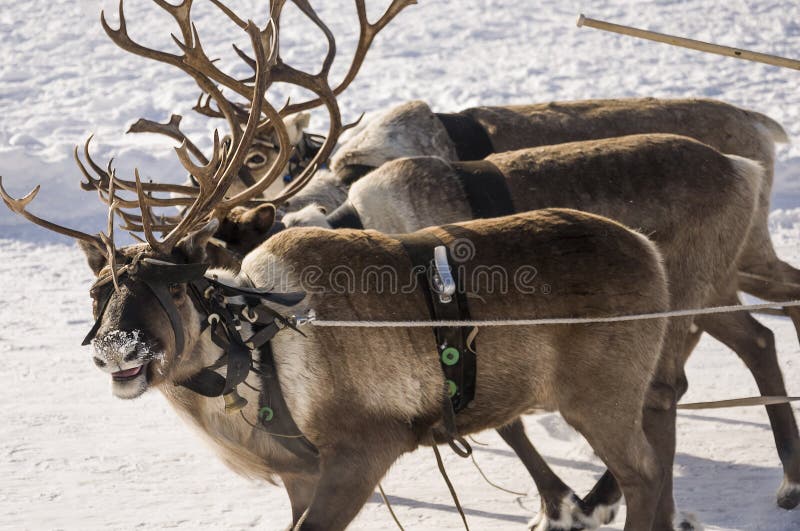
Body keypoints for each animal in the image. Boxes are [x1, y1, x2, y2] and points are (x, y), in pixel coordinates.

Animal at [0, 3, 684, 531]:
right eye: (97, 292)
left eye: (170, 284)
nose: (113, 349)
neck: (257, 356)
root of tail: (647, 252)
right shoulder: (299, 474)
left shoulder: (364, 450)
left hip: (599, 394)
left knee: (645, 472)